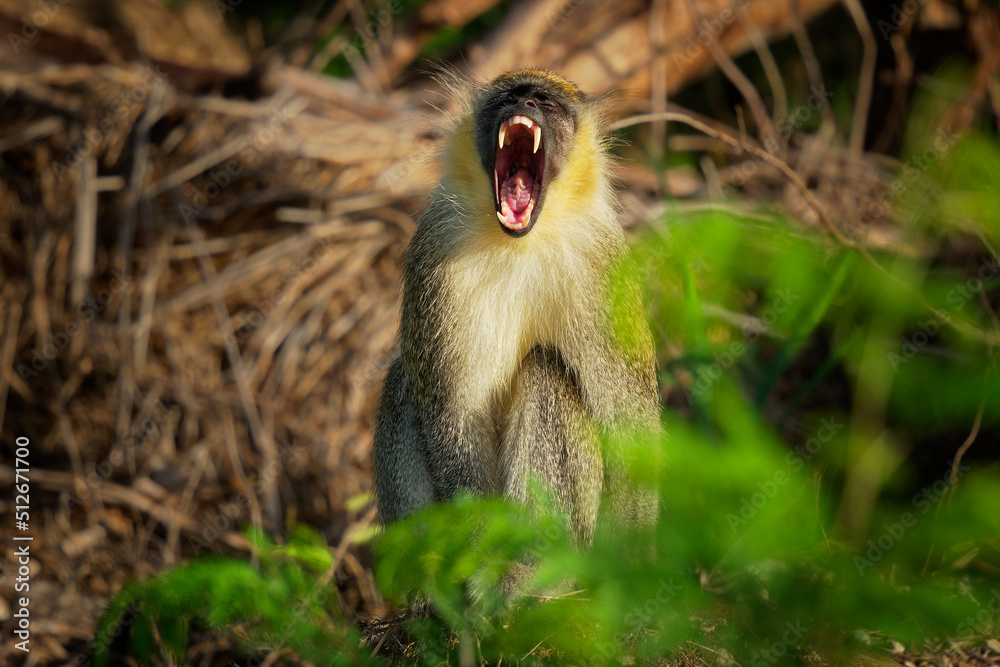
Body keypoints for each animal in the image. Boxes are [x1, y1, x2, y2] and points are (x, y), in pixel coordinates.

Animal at [373, 68, 661, 588]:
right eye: (509, 96)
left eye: (545, 101)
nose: (524, 102)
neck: (522, 243)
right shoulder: (435, 248)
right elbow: (452, 415)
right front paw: (477, 555)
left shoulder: (605, 266)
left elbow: (631, 427)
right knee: (405, 377)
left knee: (546, 371)